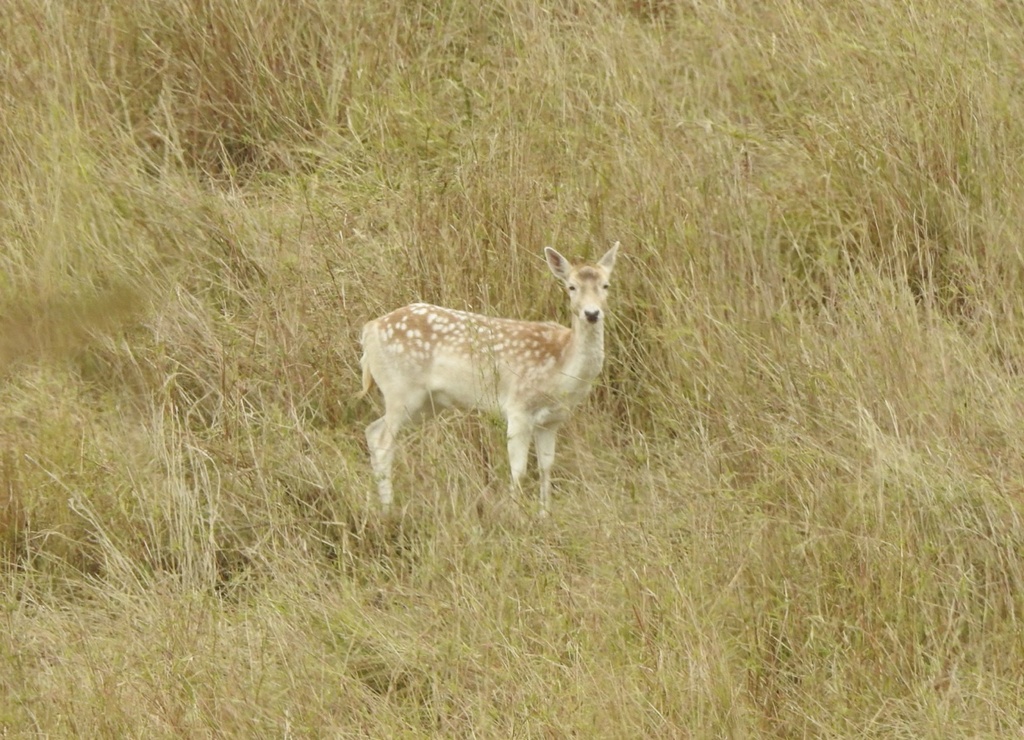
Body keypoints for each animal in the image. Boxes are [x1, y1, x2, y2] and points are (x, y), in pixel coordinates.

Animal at [358, 242, 619, 515]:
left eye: (606, 285)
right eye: (571, 286)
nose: (592, 313)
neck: (561, 365)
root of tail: (369, 330)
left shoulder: (552, 420)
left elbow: (546, 466)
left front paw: (544, 514)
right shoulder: (518, 407)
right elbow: (519, 469)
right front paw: (517, 515)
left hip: (427, 402)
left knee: (372, 430)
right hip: (400, 389)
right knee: (383, 440)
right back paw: (388, 510)